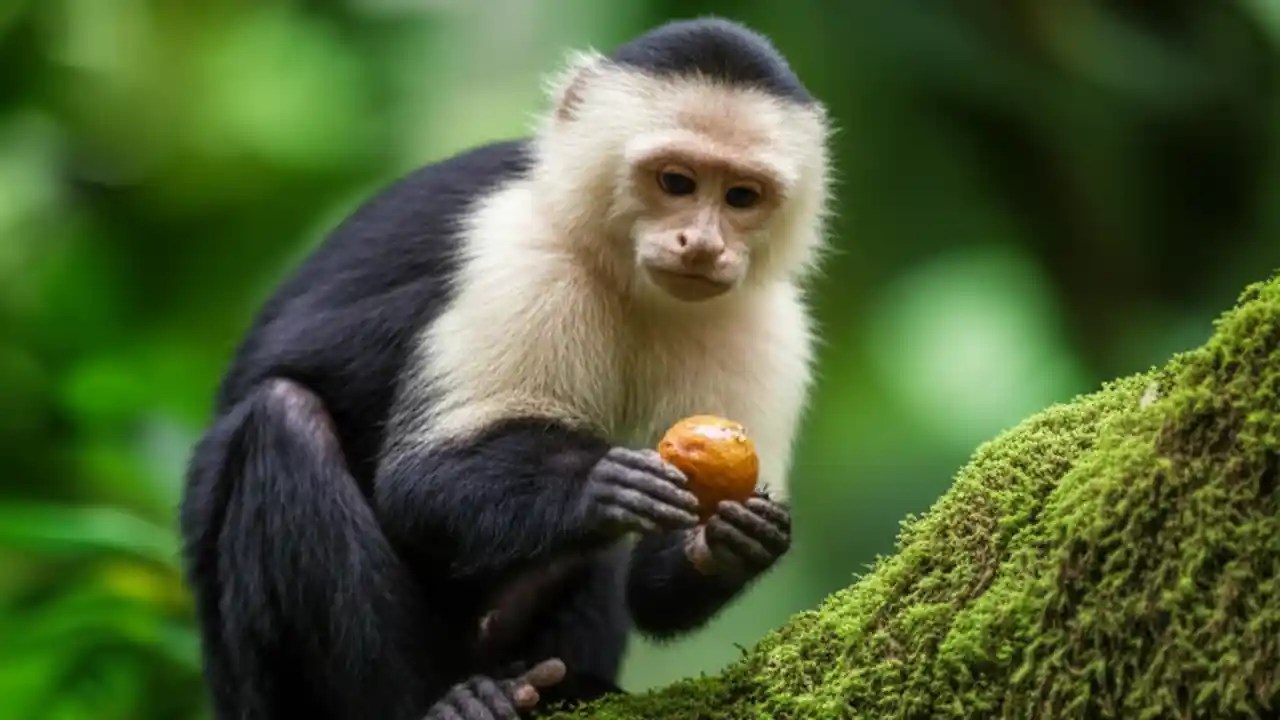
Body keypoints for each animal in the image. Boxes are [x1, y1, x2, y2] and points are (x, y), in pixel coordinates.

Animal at [179, 15, 832, 720]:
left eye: (741, 196)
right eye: (676, 182)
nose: (703, 246)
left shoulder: (767, 324)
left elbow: (653, 589)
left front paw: (726, 543)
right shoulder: (519, 253)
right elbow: (420, 482)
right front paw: (592, 486)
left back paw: (559, 686)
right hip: (253, 681)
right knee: (283, 418)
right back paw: (445, 701)